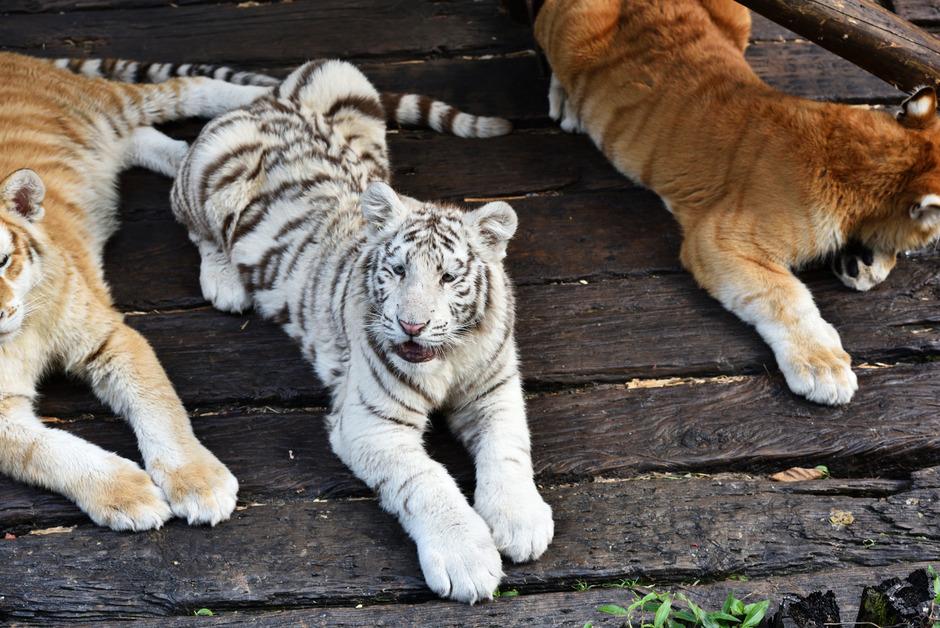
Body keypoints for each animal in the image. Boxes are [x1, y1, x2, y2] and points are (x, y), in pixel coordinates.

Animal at [0, 51, 276, 531]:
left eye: (2, 260)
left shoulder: (110, 337)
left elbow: (158, 406)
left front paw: (199, 482)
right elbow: (46, 451)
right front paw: (128, 495)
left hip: (109, 104)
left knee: (188, 90)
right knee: (143, 141)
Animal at [165, 59, 554, 603]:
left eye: (447, 278)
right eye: (396, 271)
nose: (412, 325)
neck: (448, 358)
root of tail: (271, 100)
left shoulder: (494, 391)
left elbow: (510, 449)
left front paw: (520, 521)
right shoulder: (372, 423)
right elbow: (426, 479)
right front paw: (466, 559)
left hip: (344, 77)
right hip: (206, 174)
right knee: (194, 224)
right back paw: (225, 281)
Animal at [535, 0, 940, 406]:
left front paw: (864, 263)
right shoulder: (719, 240)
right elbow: (783, 297)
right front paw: (823, 367)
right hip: (572, 30)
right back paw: (566, 104)